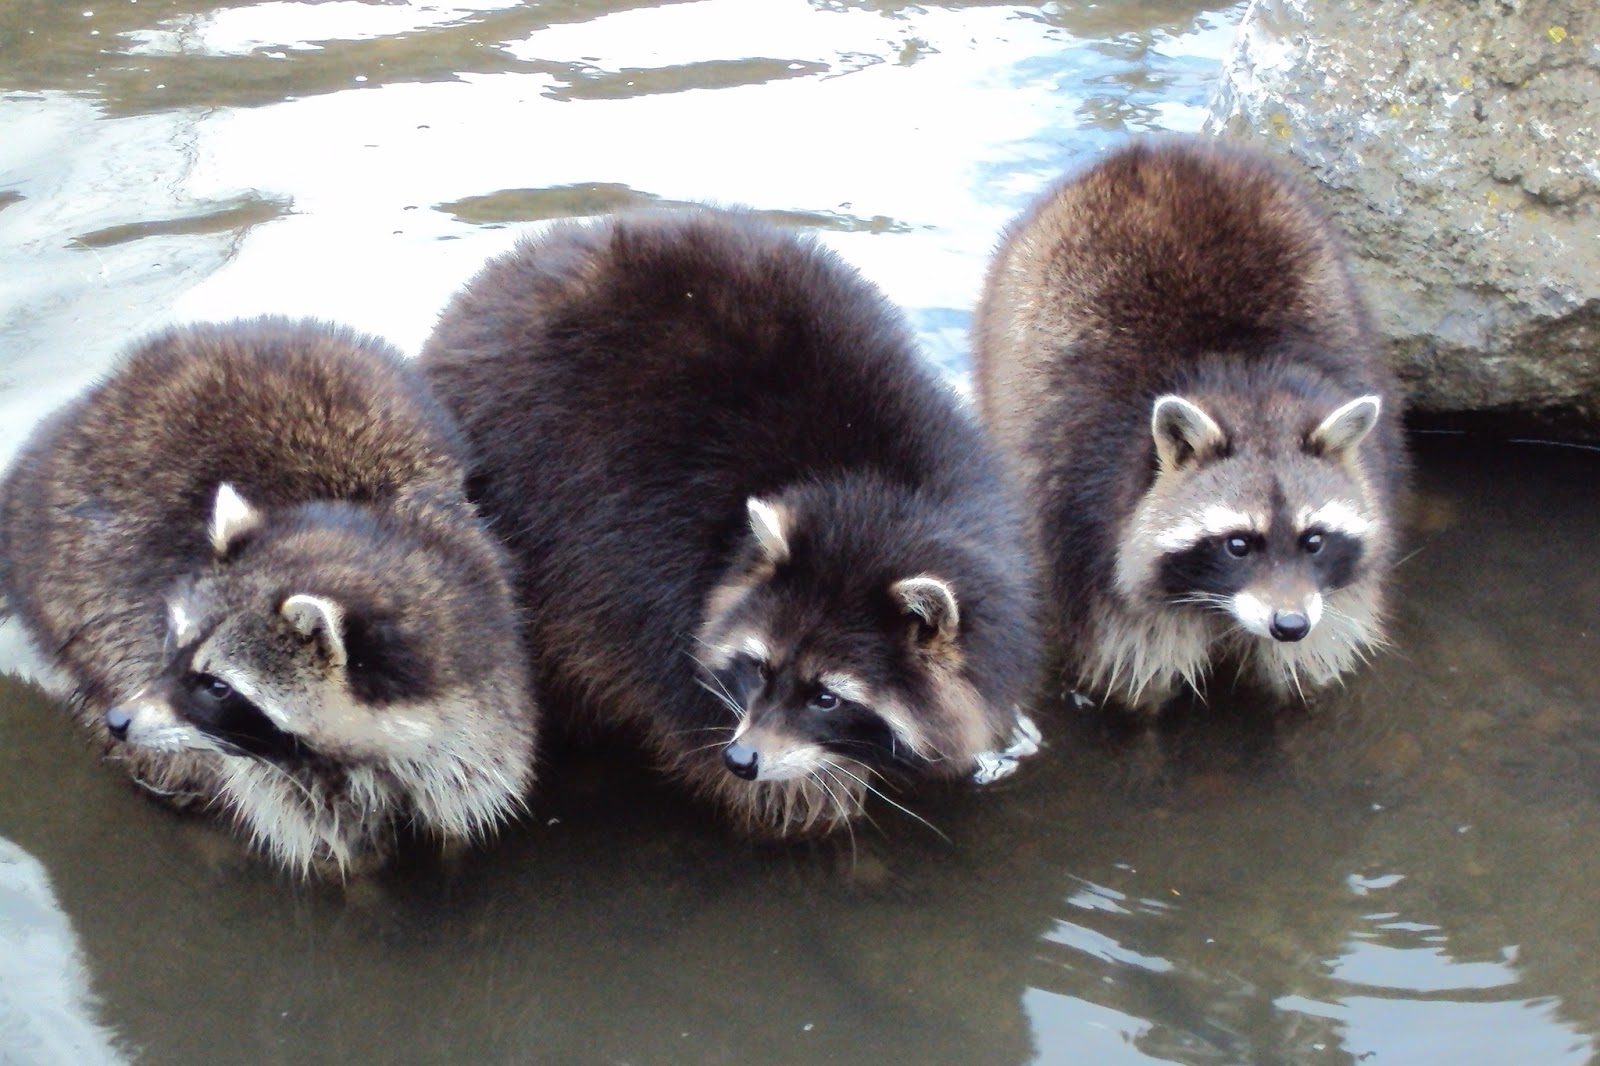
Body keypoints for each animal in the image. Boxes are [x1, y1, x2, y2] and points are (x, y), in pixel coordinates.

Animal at [0, 318, 537, 875]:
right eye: (174, 644)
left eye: (218, 686)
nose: (120, 721)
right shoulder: (266, 769)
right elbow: (322, 844)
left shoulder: (477, 713)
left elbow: (462, 811)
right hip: (76, 590)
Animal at [420, 210, 1039, 836]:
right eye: (760, 668)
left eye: (827, 698)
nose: (742, 758)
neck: (873, 493)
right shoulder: (651, 584)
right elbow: (722, 745)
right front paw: (807, 799)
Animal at [974, 138, 1405, 710]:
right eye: (1238, 544)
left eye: (1314, 540)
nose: (1289, 624)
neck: (1243, 381)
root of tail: (1158, 153)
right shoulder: (1089, 539)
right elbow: (1135, 681)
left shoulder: (1332, 595)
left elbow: (1302, 672)